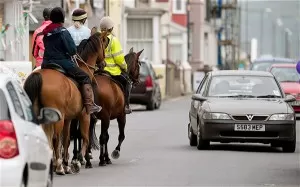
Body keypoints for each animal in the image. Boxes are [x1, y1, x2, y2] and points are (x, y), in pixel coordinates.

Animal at [23, 31, 109, 175]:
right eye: (104, 44)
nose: (103, 64)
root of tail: (39, 76)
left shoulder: (68, 119)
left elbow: (67, 139)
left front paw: (67, 164)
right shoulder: (84, 116)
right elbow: (84, 137)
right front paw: (76, 162)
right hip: (58, 118)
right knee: (55, 139)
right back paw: (58, 167)